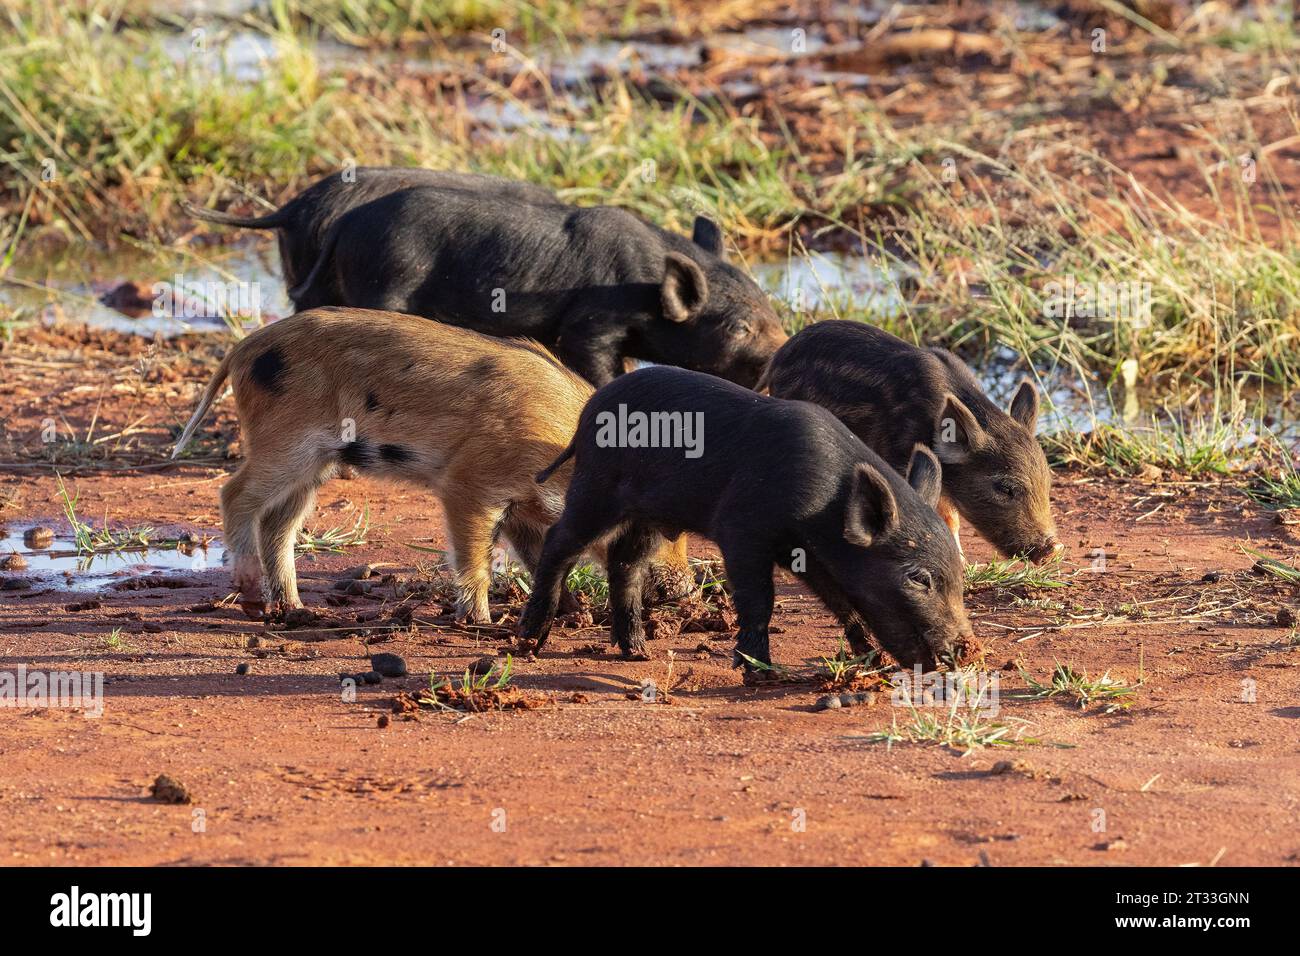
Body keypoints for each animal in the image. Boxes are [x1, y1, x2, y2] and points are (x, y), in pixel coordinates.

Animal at [170, 306, 695, 621]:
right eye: (658, 525)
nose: (687, 589)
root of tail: (244, 348)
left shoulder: (523, 505)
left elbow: (539, 553)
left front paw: (570, 611)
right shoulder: (469, 482)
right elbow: (475, 556)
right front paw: (481, 621)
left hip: (315, 463)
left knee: (278, 523)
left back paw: (297, 611)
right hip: (285, 442)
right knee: (234, 493)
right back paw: (250, 592)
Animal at [284, 185, 789, 387]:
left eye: (770, 308)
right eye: (740, 328)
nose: (780, 351)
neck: (644, 285)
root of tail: (347, 223)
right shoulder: (593, 320)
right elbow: (596, 361)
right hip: (387, 280)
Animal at [515, 366, 972, 675]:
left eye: (956, 576)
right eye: (919, 579)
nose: (962, 652)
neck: (824, 505)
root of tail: (587, 412)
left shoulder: (807, 554)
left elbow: (842, 602)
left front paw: (873, 662)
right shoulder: (741, 529)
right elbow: (759, 599)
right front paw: (758, 671)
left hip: (648, 514)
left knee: (624, 561)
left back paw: (637, 652)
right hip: (596, 488)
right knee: (560, 541)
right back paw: (528, 644)